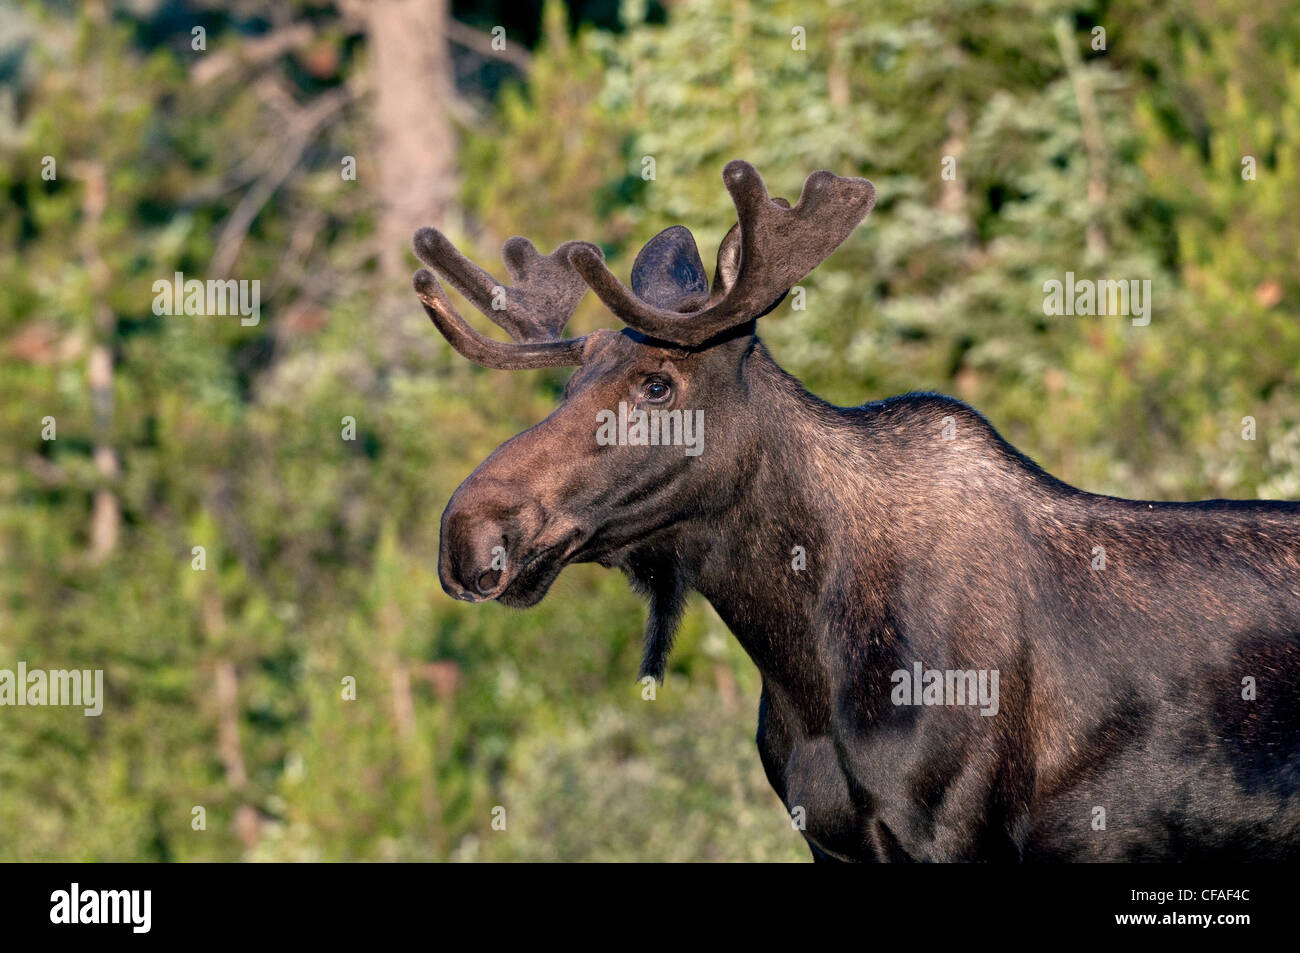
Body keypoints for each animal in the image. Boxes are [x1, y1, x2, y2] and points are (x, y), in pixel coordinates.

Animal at [411, 160, 1300, 862]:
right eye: (567, 386)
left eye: (658, 384)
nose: (467, 533)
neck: (805, 663)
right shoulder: (830, 841)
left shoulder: (957, 839)